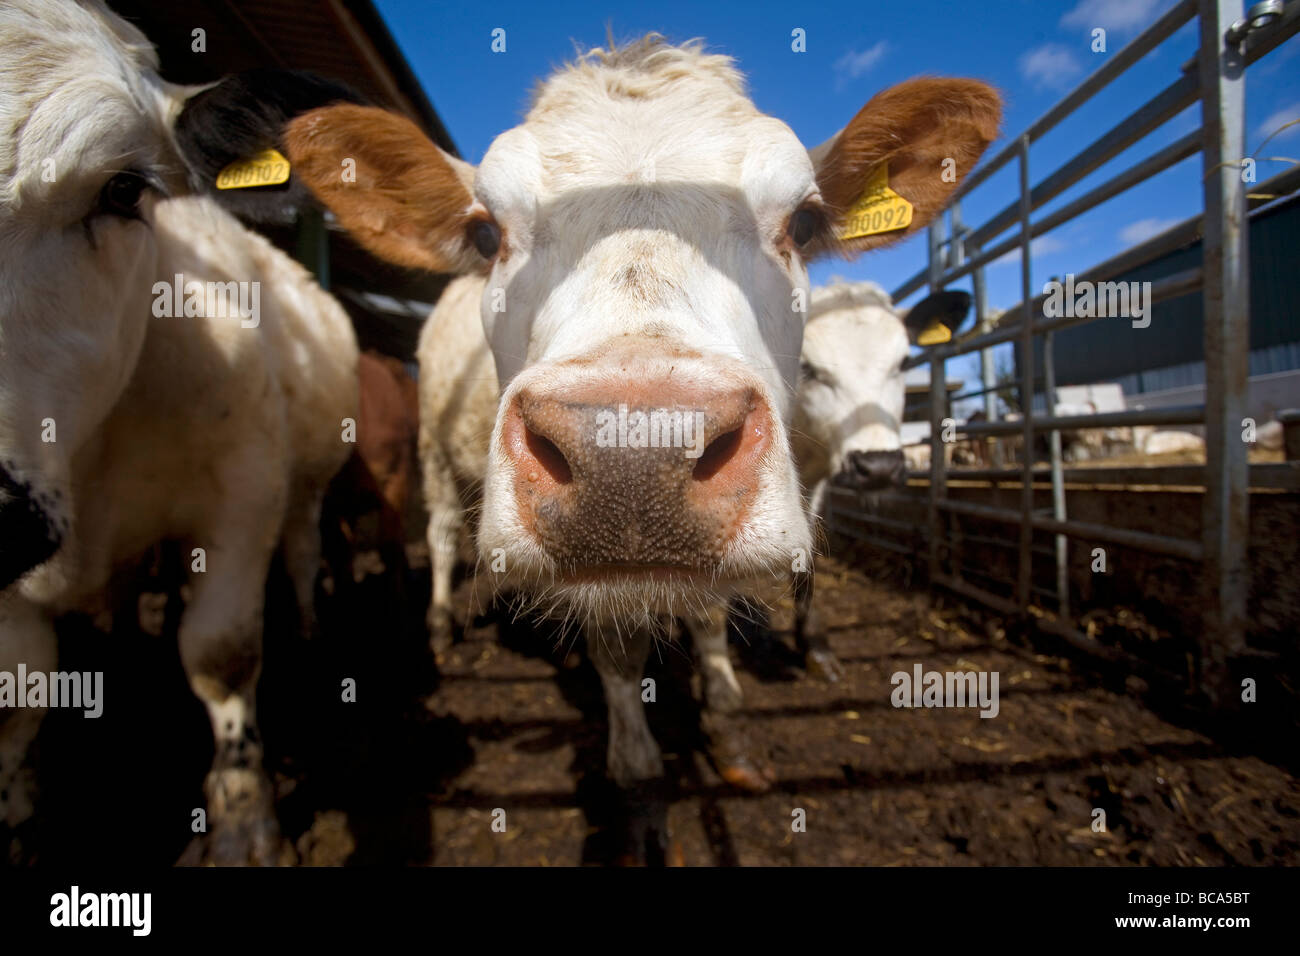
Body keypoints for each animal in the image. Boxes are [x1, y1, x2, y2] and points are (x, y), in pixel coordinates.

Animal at [0, 0, 361, 864]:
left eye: (123, 188)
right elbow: (19, 690)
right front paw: (19, 815)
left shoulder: (242, 495)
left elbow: (220, 654)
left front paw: (244, 824)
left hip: (304, 487)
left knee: (302, 554)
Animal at [288, 35, 1000, 861]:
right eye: (486, 234)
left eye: (805, 222)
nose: (632, 460)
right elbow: (619, 661)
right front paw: (639, 796)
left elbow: (713, 619)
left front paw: (731, 734)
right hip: (427, 452)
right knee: (434, 535)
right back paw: (439, 627)